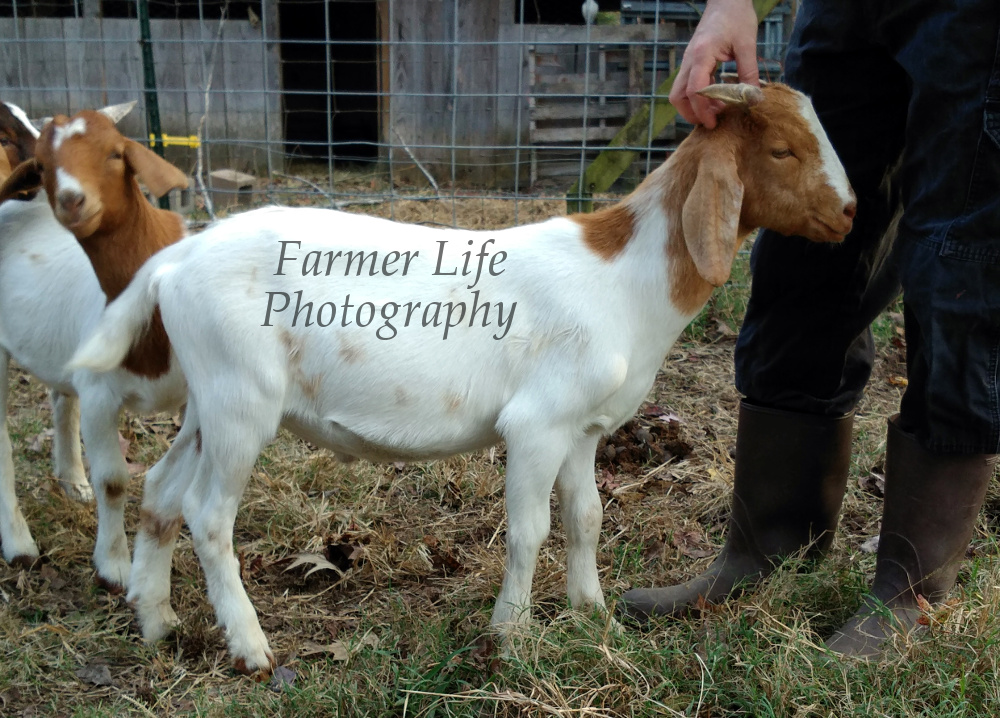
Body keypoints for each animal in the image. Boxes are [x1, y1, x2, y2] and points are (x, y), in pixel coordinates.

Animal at [0, 107, 188, 582]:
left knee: (61, 398)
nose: (71, 200)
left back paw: (72, 481)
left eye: (115, 153)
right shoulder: (101, 397)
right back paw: (19, 544)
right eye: (42, 166)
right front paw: (114, 566)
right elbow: (114, 482)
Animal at [70, 82, 856, 679]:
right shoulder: (537, 423)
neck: (624, 279)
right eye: (782, 150)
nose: (849, 213)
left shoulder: (583, 429)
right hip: (241, 400)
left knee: (161, 491)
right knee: (207, 514)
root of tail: (179, 257)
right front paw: (511, 635)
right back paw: (250, 646)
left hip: (211, 400)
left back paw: (157, 620)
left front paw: (592, 614)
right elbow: (530, 530)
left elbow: (586, 518)